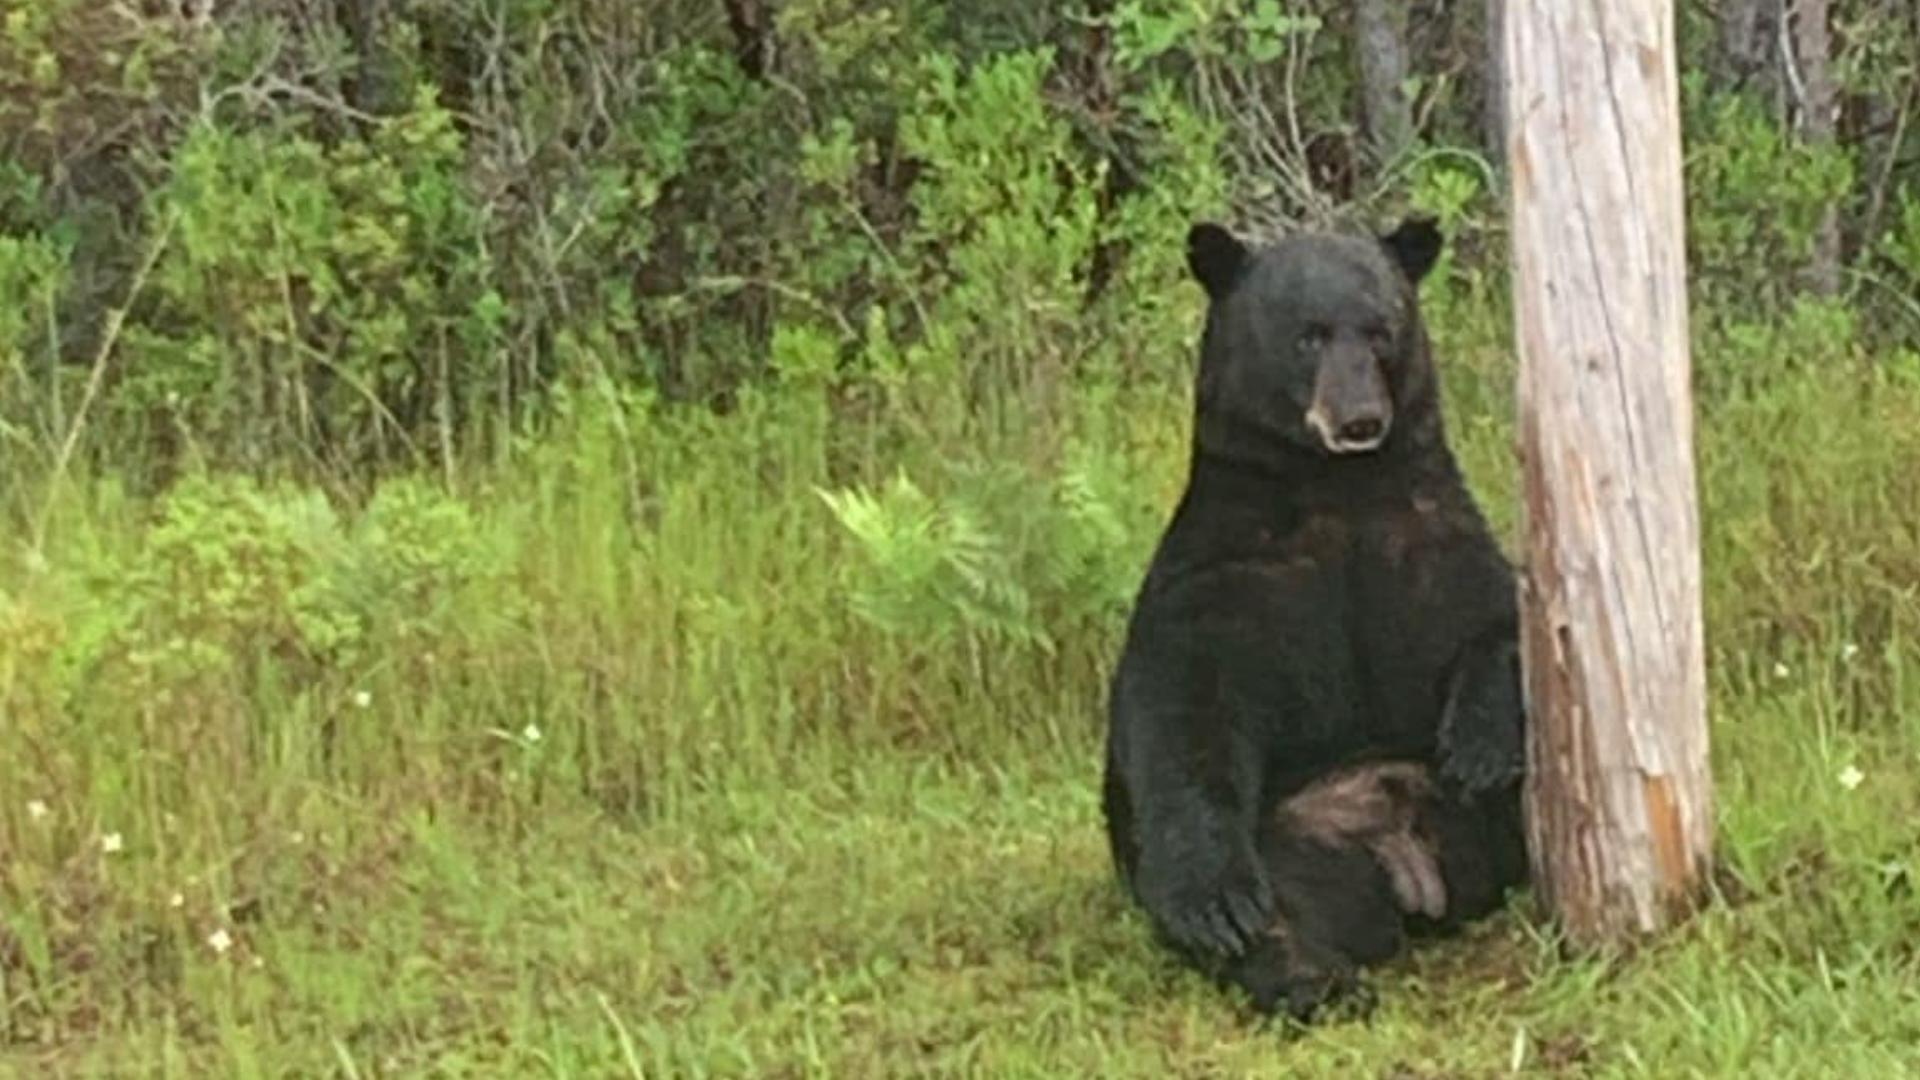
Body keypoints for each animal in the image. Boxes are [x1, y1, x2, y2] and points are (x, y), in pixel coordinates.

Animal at [1101, 216, 1529, 1017]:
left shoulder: (1431, 536)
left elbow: (1500, 618)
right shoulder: (1225, 575)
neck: (1338, 489)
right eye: (1308, 335)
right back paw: (1311, 977)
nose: (1360, 419)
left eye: (1382, 329)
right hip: (1290, 843)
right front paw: (1212, 903)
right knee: (1278, 912)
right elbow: (1184, 711)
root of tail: (1405, 861)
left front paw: (1480, 746)